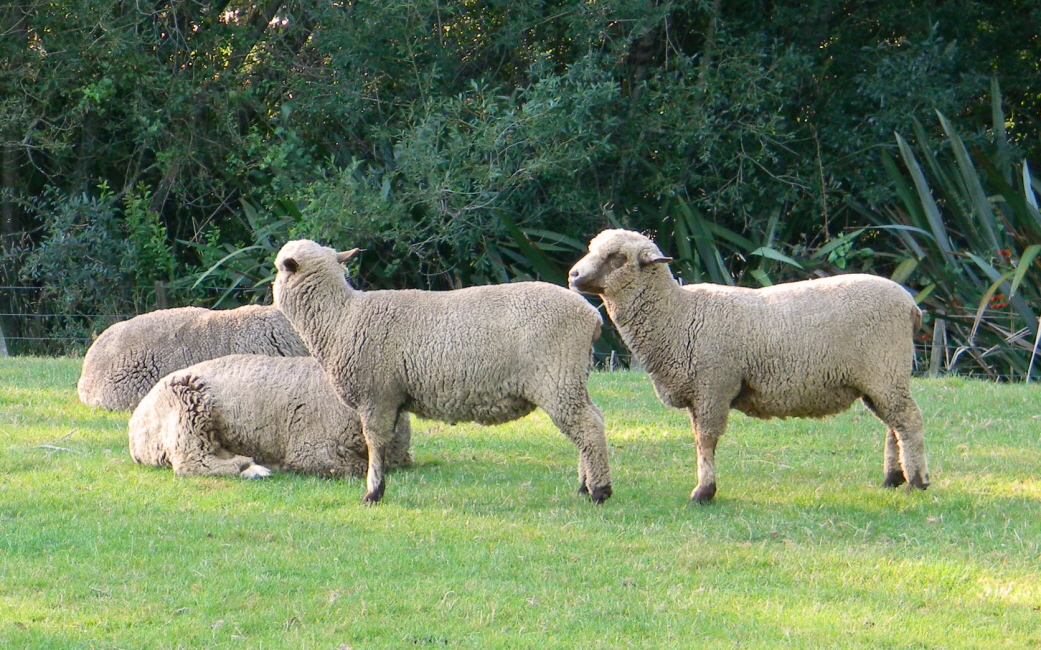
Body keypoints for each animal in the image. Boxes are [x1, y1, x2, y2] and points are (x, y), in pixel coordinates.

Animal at [271, 239, 611, 504]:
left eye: (277, 269)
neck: (340, 317)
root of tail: (592, 317)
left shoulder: (377, 394)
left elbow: (375, 442)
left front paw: (373, 492)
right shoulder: (387, 396)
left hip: (556, 375)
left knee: (587, 426)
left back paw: (599, 491)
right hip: (572, 376)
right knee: (592, 420)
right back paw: (585, 485)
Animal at [568, 228, 929, 503]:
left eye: (617, 258)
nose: (573, 275)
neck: (679, 314)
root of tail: (911, 305)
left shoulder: (713, 386)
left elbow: (706, 441)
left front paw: (703, 492)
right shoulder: (699, 392)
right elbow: (700, 439)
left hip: (885, 368)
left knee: (908, 421)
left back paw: (917, 481)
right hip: (879, 377)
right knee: (893, 424)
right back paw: (893, 478)